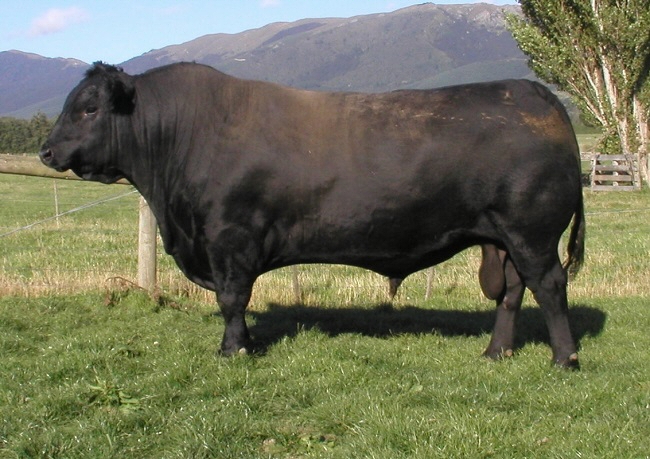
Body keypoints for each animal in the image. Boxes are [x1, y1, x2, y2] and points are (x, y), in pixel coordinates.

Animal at [40, 62, 585, 368]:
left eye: (89, 109)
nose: (46, 150)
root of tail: (537, 94)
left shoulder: (229, 238)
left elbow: (232, 299)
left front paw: (233, 350)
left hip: (533, 233)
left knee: (550, 286)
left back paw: (564, 358)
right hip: (503, 238)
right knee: (512, 292)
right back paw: (496, 353)